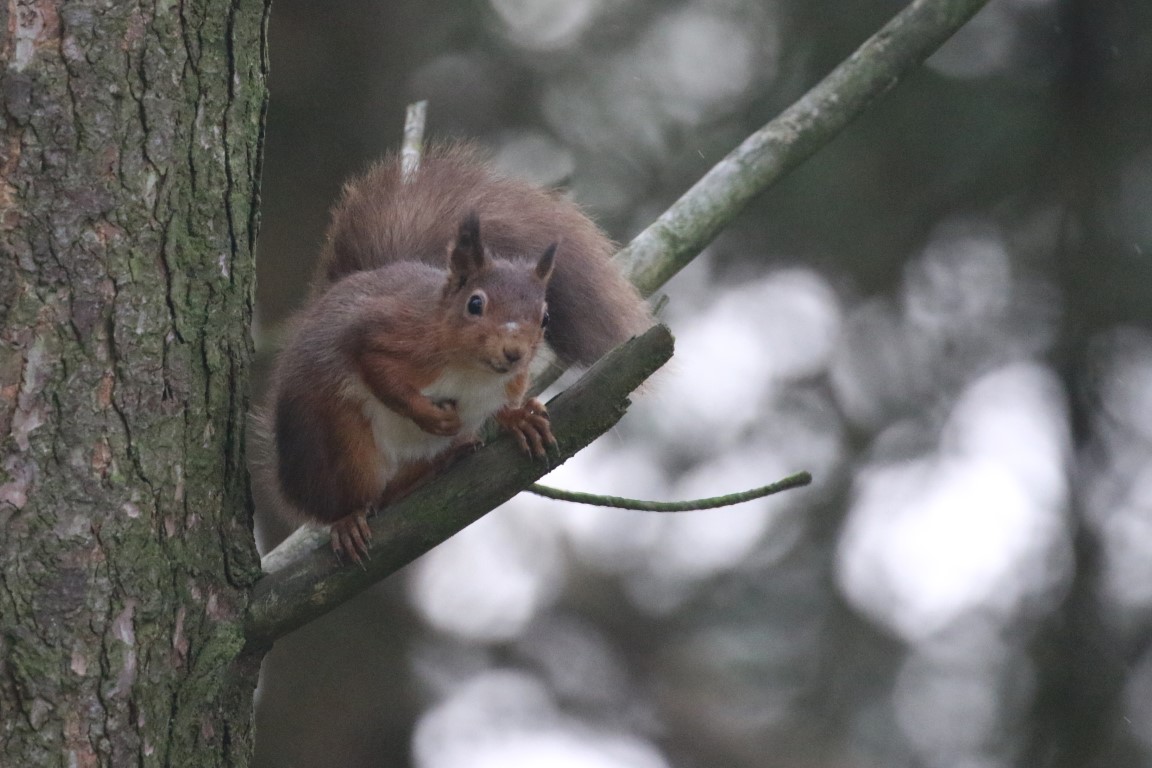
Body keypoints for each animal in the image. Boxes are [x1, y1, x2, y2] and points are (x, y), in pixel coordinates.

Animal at [263, 143, 652, 562]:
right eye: (475, 304)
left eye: (545, 317)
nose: (514, 352)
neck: (473, 370)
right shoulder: (389, 336)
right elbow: (379, 372)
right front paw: (431, 416)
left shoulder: (511, 379)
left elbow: (506, 402)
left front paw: (520, 418)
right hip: (341, 447)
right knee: (361, 497)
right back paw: (348, 519)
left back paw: (445, 458)